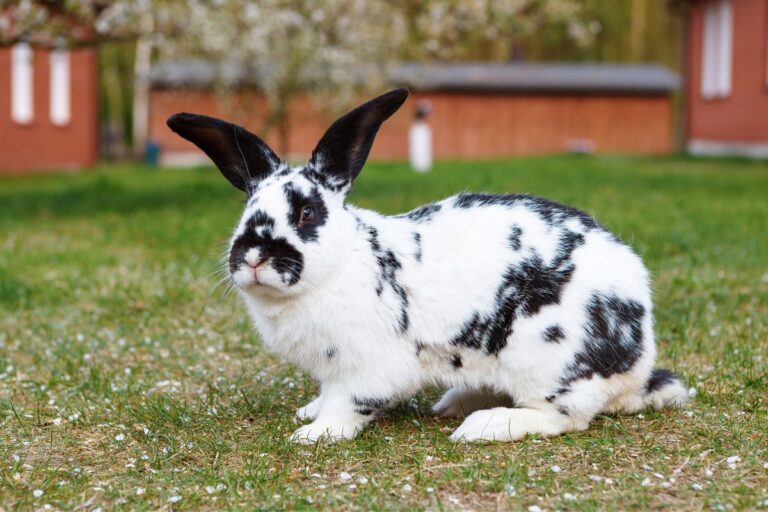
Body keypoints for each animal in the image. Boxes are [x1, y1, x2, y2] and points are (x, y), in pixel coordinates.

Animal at [167, 88, 689, 444]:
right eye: (246, 211)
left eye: (307, 214)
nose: (253, 256)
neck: (343, 264)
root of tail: (639, 362)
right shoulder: (332, 369)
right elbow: (327, 393)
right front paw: (308, 414)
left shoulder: (367, 367)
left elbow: (349, 402)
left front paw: (316, 433)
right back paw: (453, 404)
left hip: (546, 358)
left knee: (565, 417)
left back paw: (483, 425)